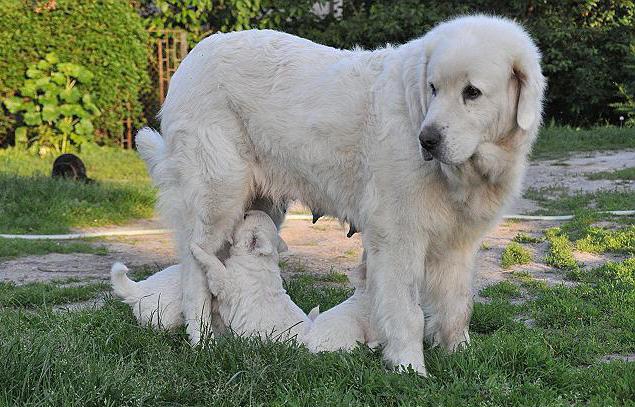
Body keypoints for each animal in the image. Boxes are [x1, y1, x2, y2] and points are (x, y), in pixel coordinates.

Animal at [139, 15, 548, 376]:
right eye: (432, 88)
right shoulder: (397, 234)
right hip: (218, 196)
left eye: (472, 93)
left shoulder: (459, 242)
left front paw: (458, 353)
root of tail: (191, 58)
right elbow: (408, 311)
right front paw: (409, 368)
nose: (427, 140)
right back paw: (203, 340)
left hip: (259, 209)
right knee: (196, 271)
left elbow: (458, 305)